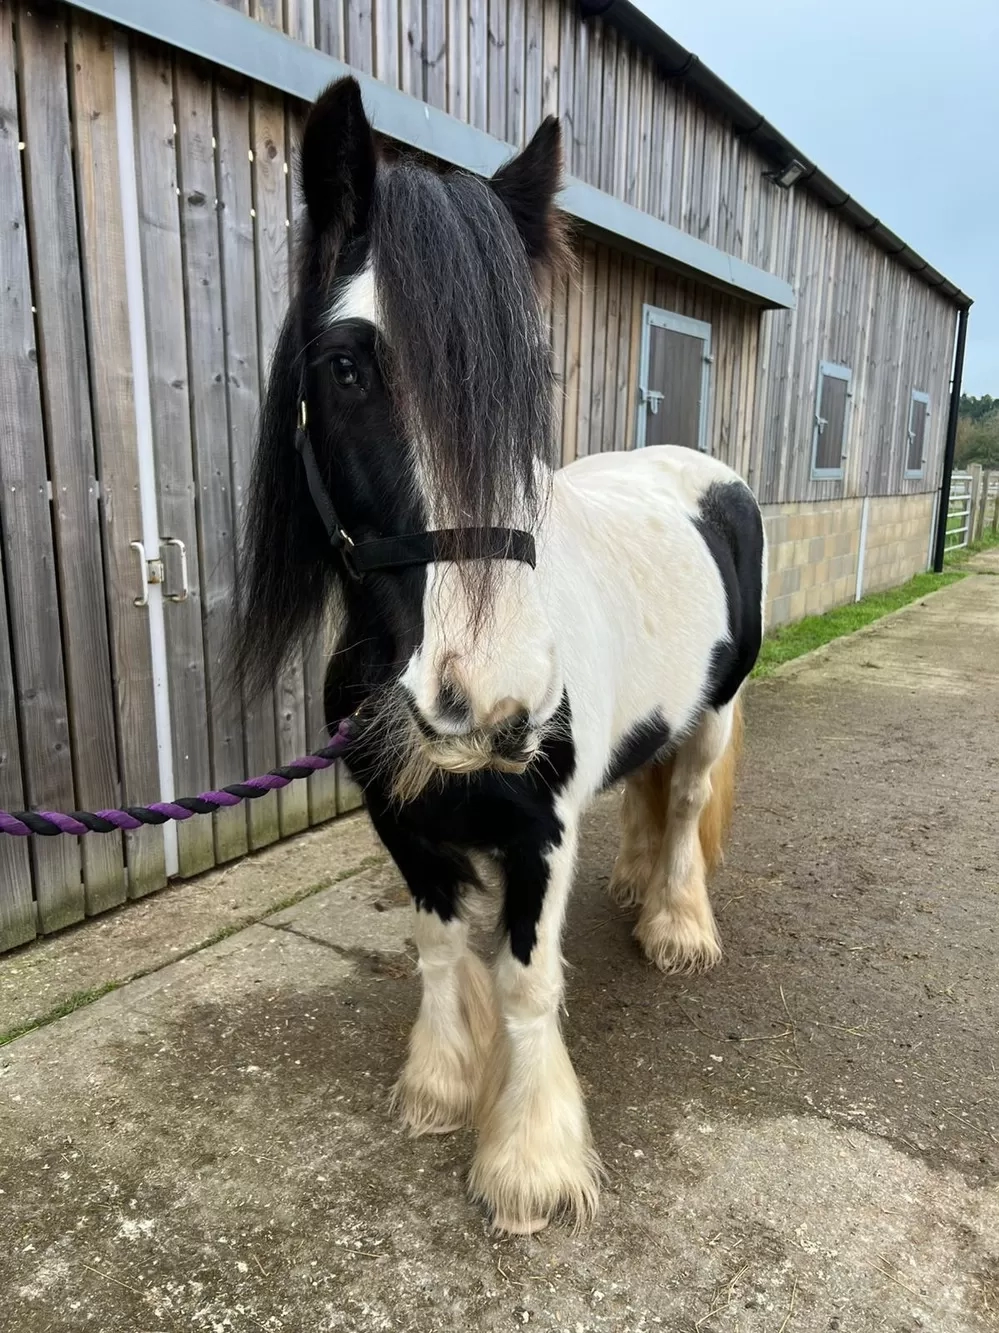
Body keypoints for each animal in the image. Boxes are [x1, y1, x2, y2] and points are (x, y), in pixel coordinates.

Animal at [229, 76, 767, 1236]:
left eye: (530, 376)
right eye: (345, 366)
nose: (501, 700)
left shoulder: (541, 833)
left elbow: (526, 985)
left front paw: (528, 1163)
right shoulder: (400, 820)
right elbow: (439, 946)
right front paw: (440, 1085)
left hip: (713, 713)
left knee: (686, 801)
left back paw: (675, 924)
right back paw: (638, 889)